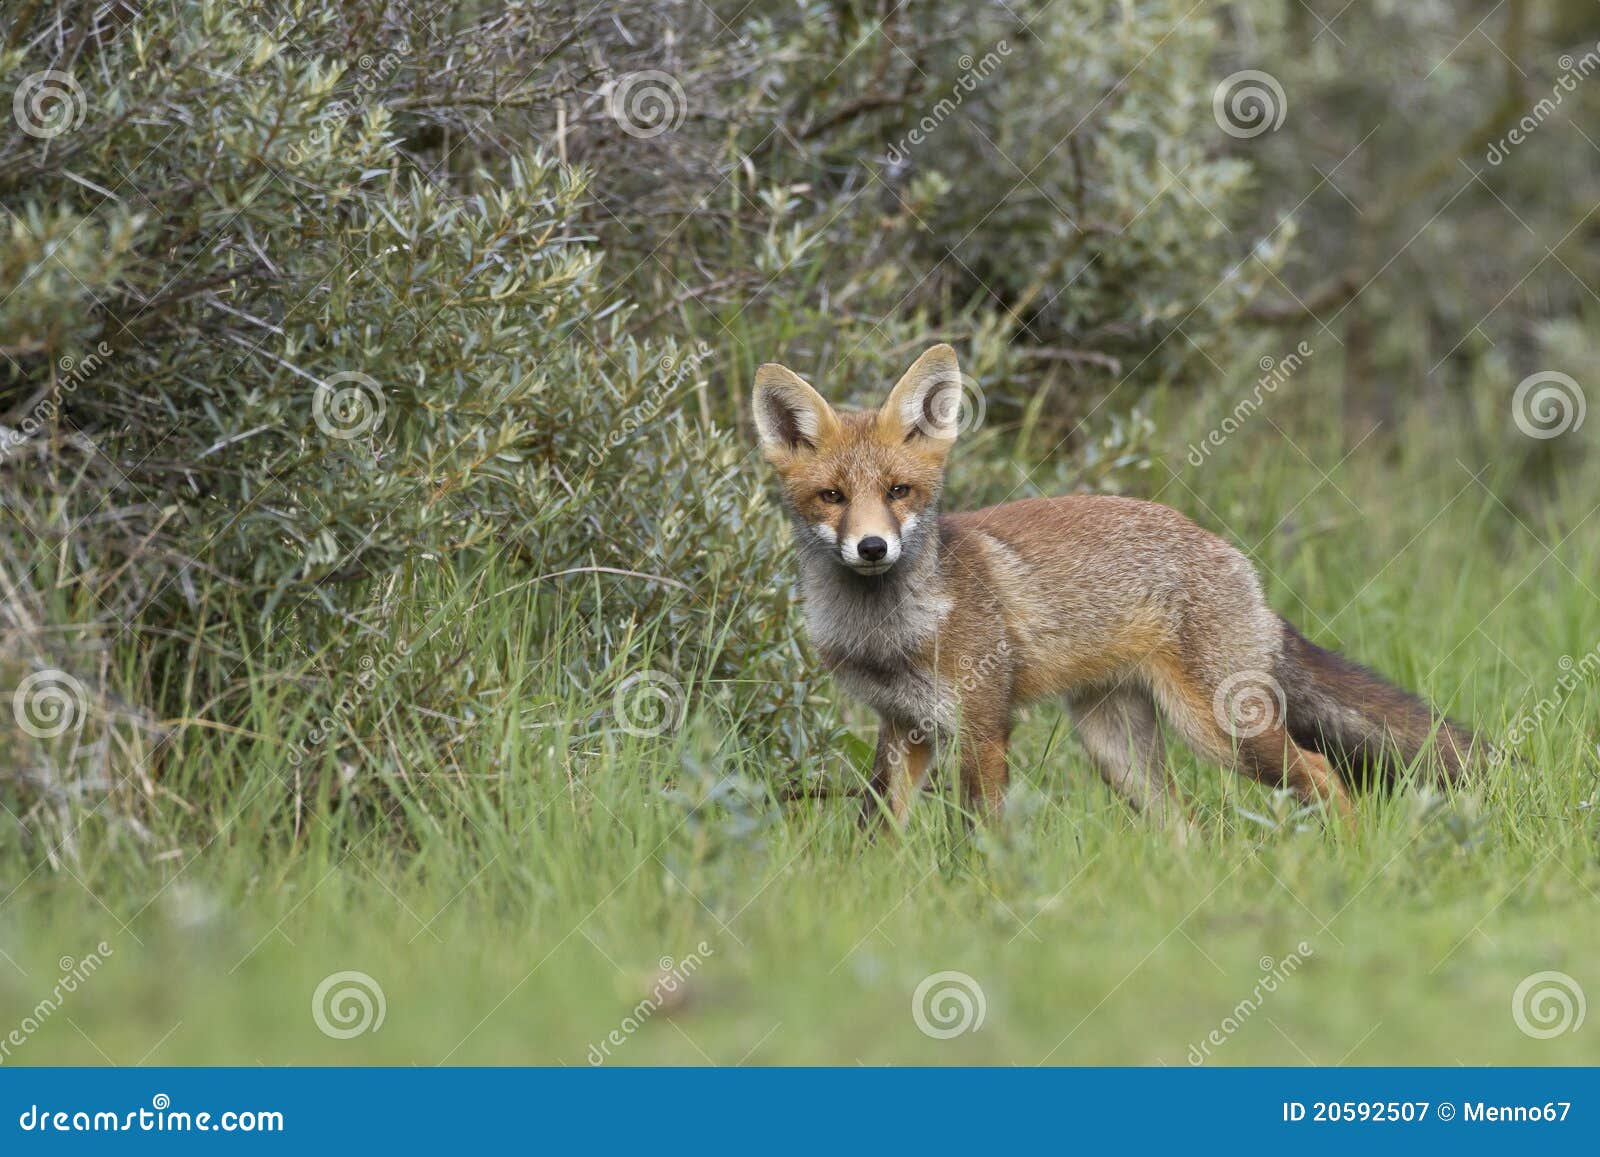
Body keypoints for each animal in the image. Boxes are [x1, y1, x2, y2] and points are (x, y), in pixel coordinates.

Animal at [753, 343, 1482, 834]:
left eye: (899, 491)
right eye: (832, 497)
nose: (873, 547)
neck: (891, 632)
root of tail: (1235, 559)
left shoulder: (983, 725)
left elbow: (979, 836)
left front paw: (980, 897)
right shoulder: (905, 727)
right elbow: (875, 831)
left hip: (1221, 728)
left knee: (1323, 775)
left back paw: (1351, 857)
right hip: (1118, 752)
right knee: (1186, 826)